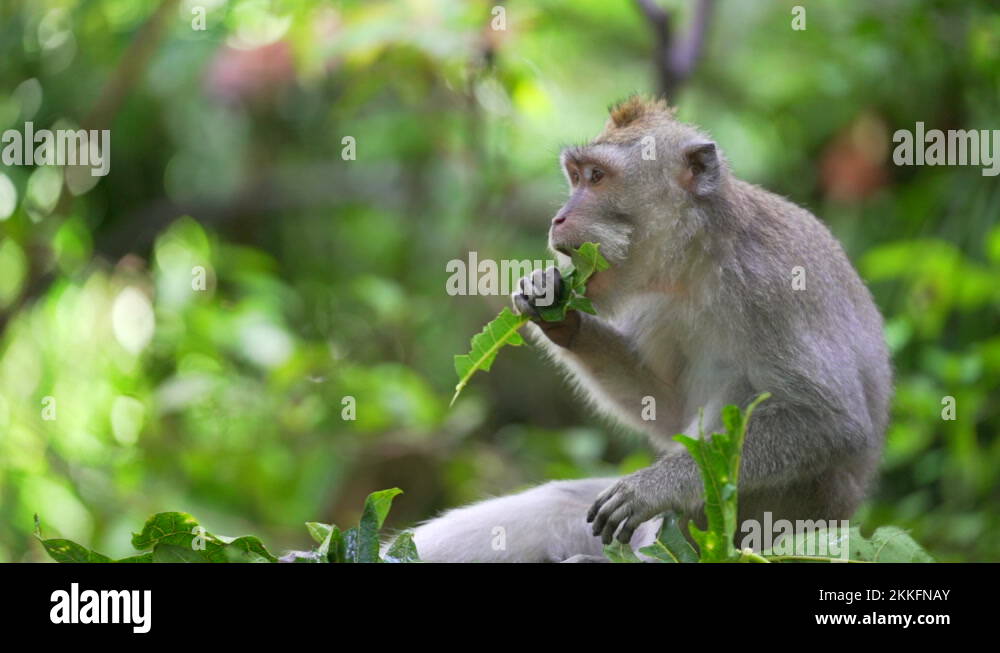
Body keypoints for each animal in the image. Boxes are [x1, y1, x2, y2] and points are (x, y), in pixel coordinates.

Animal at [406, 96, 892, 562]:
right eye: (575, 177)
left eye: (597, 177)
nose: (558, 218)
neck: (700, 261)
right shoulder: (656, 302)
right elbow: (665, 407)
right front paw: (554, 307)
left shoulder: (773, 285)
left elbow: (834, 424)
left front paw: (655, 488)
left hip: (785, 523)